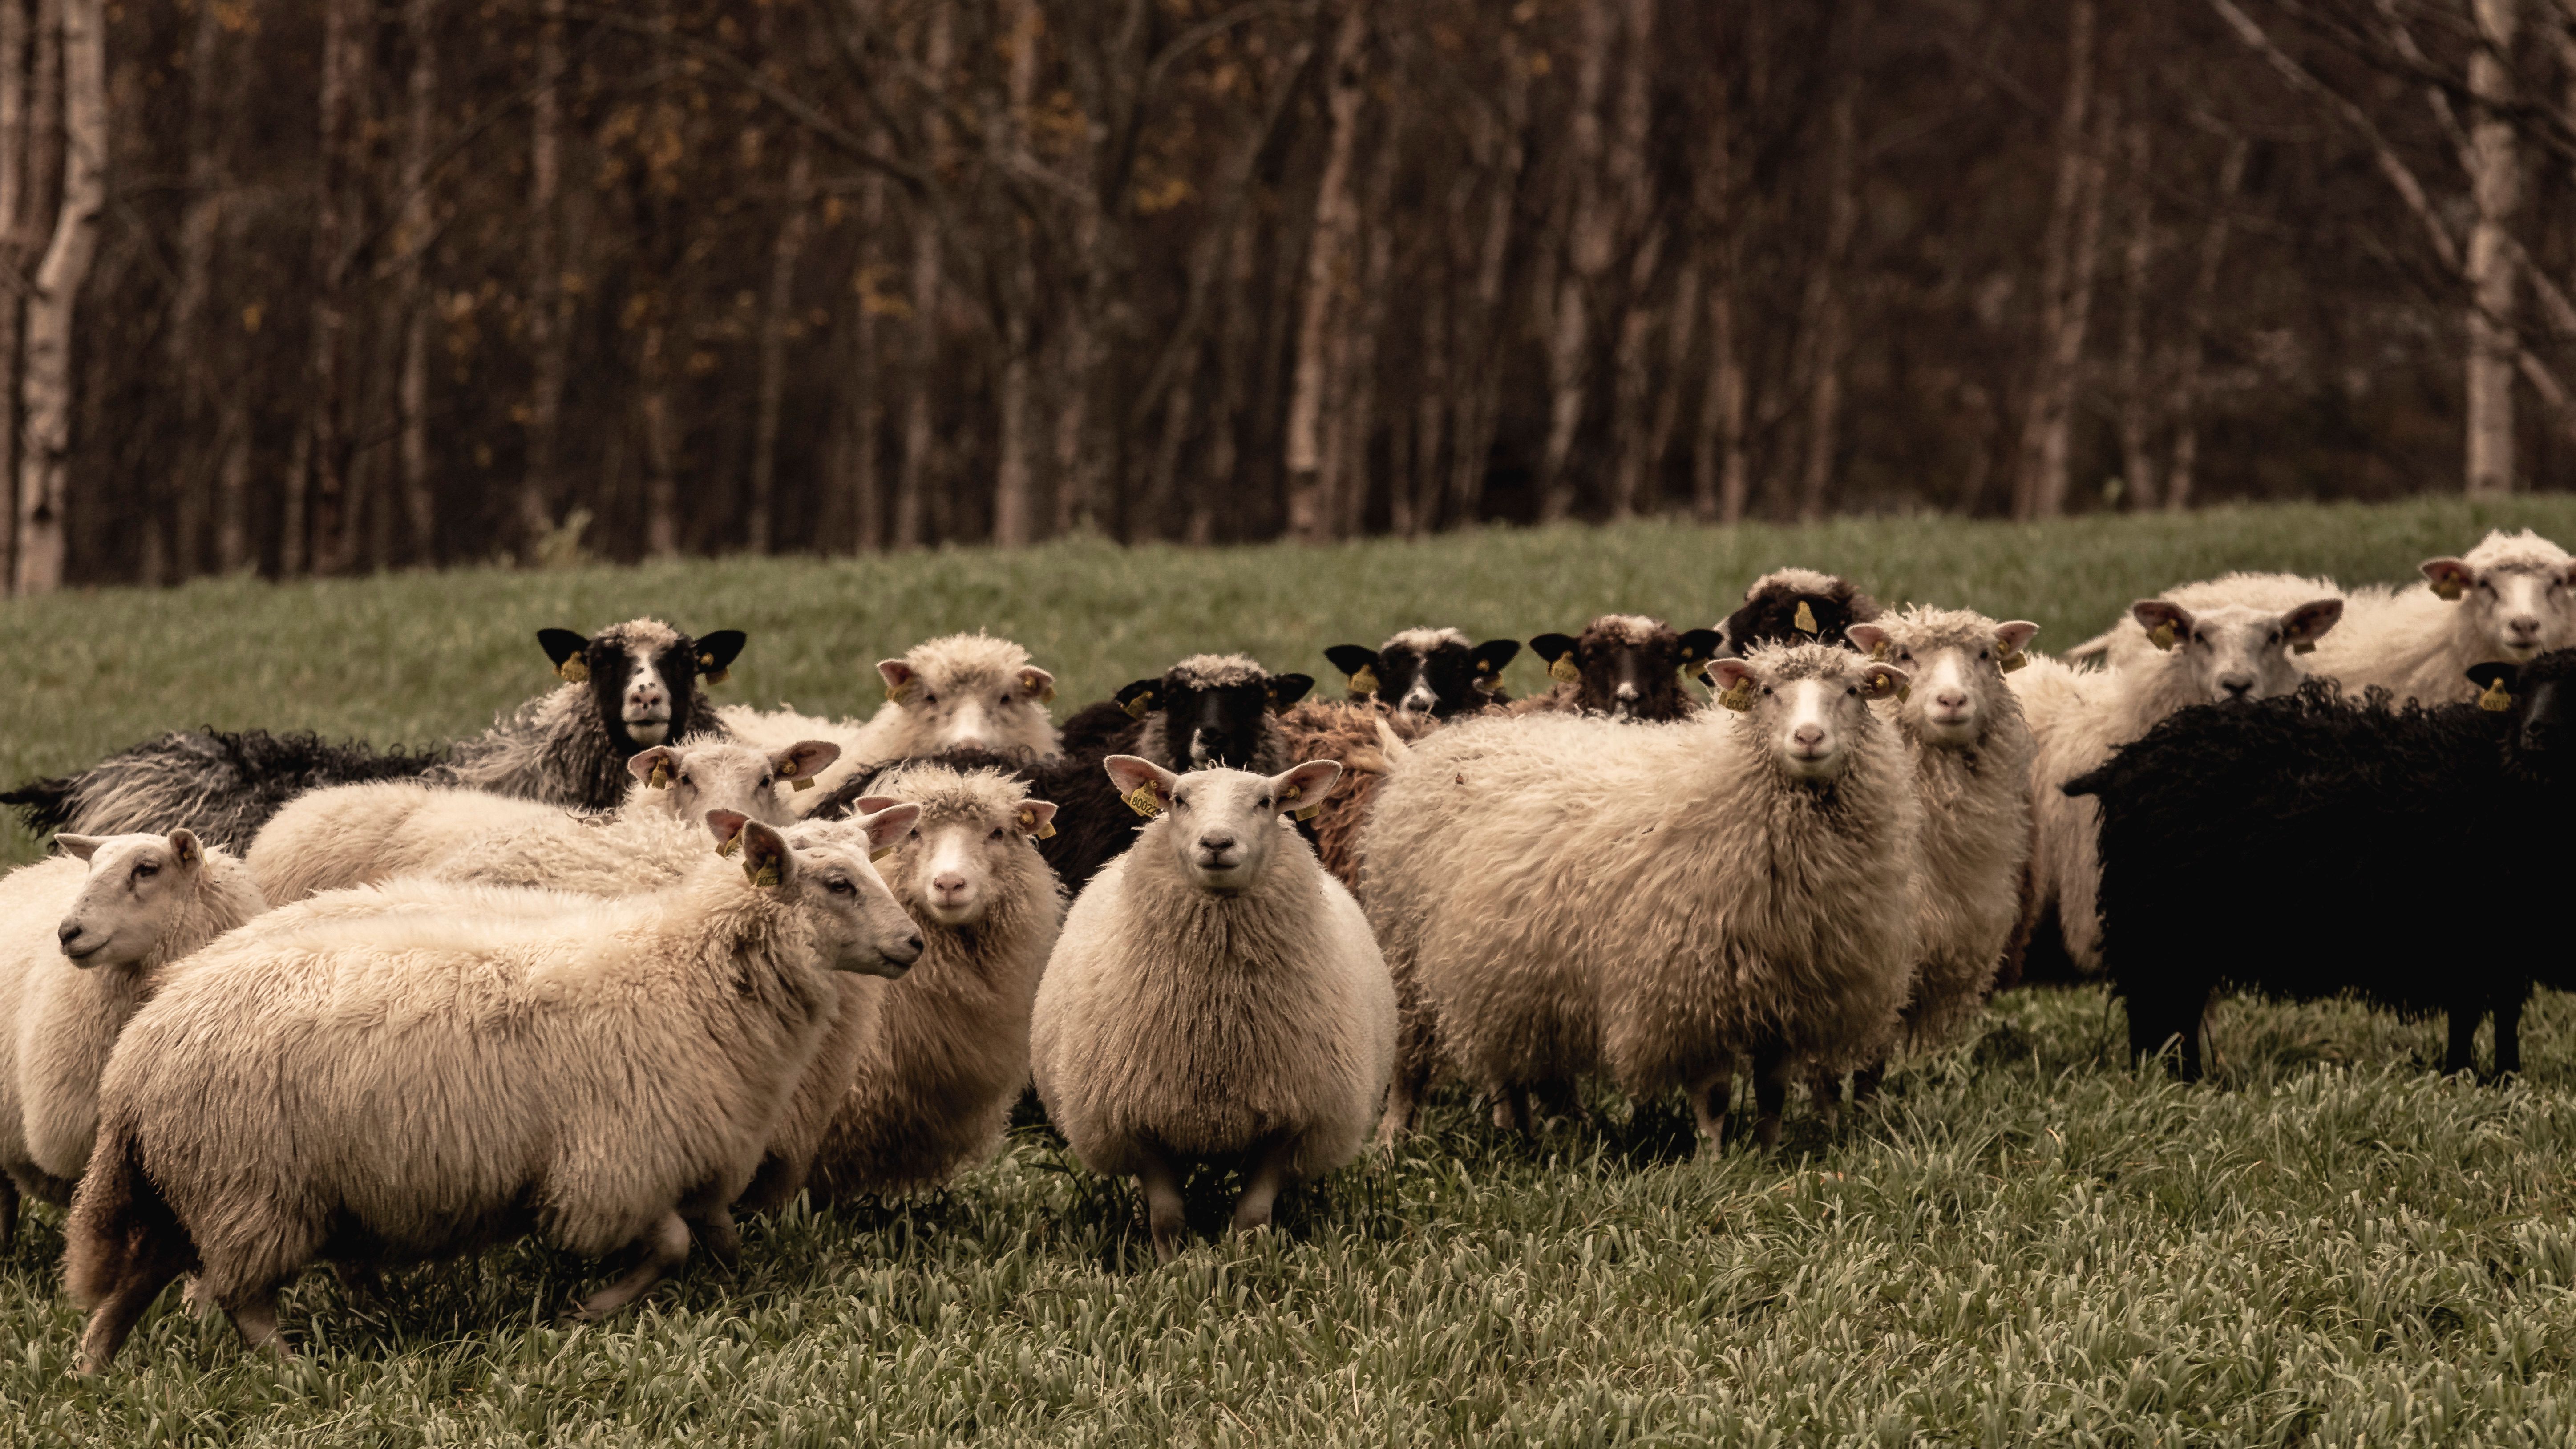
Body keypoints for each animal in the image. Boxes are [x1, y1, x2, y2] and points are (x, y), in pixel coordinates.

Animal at [65, 804, 925, 1371]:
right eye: (839, 883)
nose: (914, 942)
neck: (685, 969)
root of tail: (142, 1044)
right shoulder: (611, 1165)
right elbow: (672, 1243)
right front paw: (592, 1309)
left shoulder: (695, 1149)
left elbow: (716, 1235)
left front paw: (743, 1286)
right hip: (252, 1187)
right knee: (239, 1299)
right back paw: (296, 1369)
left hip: (194, 1184)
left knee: (140, 1281)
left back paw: (95, 1368)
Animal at [1031, 754, 1392, 1263]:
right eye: (1179, 800)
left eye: (1266, 801)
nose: (1217, 843)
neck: (1215, 1021)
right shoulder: (1136, 1118)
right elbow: (1166, 1216)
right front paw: (1172, 1267)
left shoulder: (1291, 1118)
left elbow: (1254, 1215)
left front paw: (1248, 1263)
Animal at [1364, 642, 1921, 1151]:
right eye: (1766, 691)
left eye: (1852, 691)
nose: (1808, 737)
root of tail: (1431, 749)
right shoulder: (1687, 989)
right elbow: (1715, 1095)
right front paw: (1714, 1163)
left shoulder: (1787, 995)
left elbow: (1771, 1091)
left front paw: (1768, 1154)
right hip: (1406, 952)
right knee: (1409, 1063)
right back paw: (1393, 1143)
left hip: (1505, 969)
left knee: (1511, 1058)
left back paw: (1521, 1135)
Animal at [2067, 655, 2575, 1080]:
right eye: (2521, 688)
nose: (2535, 732)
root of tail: (2124, 762)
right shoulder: (2481, 928)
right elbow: (2479, 1012)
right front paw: (2476, 1076)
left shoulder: (2494, 936)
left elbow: (2492, 1015)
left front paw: (2491, 1076)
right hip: (2159, 921)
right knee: (2158, 1008)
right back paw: (2169, 1078)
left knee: (2174, 1011)